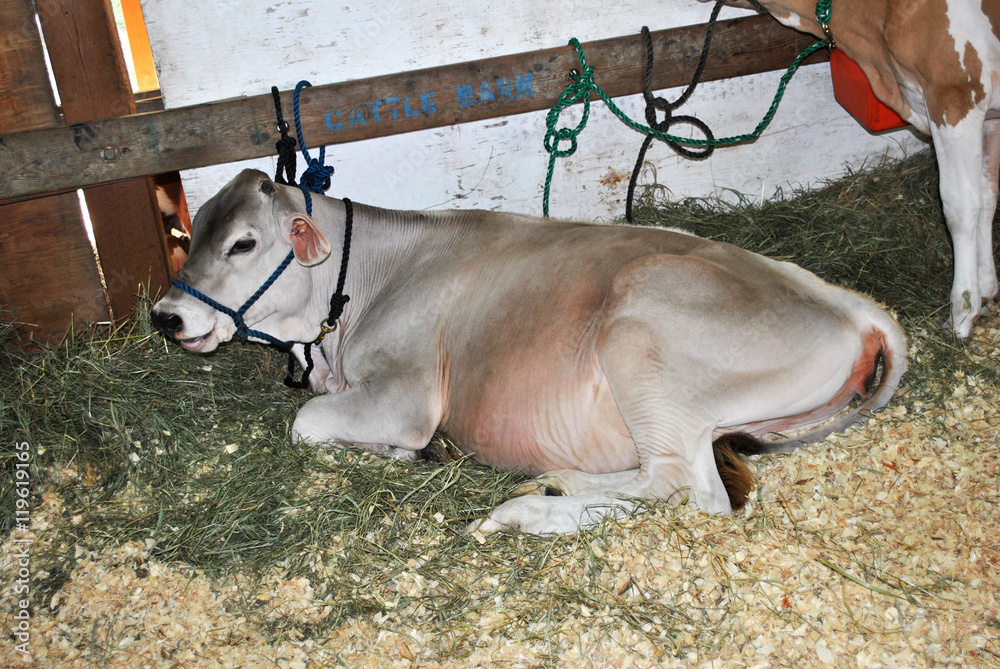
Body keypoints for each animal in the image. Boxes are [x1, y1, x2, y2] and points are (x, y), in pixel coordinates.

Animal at [150, 169, 907, 535]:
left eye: (244, 242)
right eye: (193, 231)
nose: (165, 315)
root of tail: (852, 304)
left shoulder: (405, 395)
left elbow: (307, 426)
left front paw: (402, 453)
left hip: (639, 342)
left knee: (683, 487)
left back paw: (525, 513)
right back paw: (554, 482)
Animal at [700, 0, 1000, 338]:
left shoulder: (955, 101)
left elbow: (960, 208)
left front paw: (962, 313)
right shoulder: (989, 116)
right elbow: (987, 196)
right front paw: (987, 290)